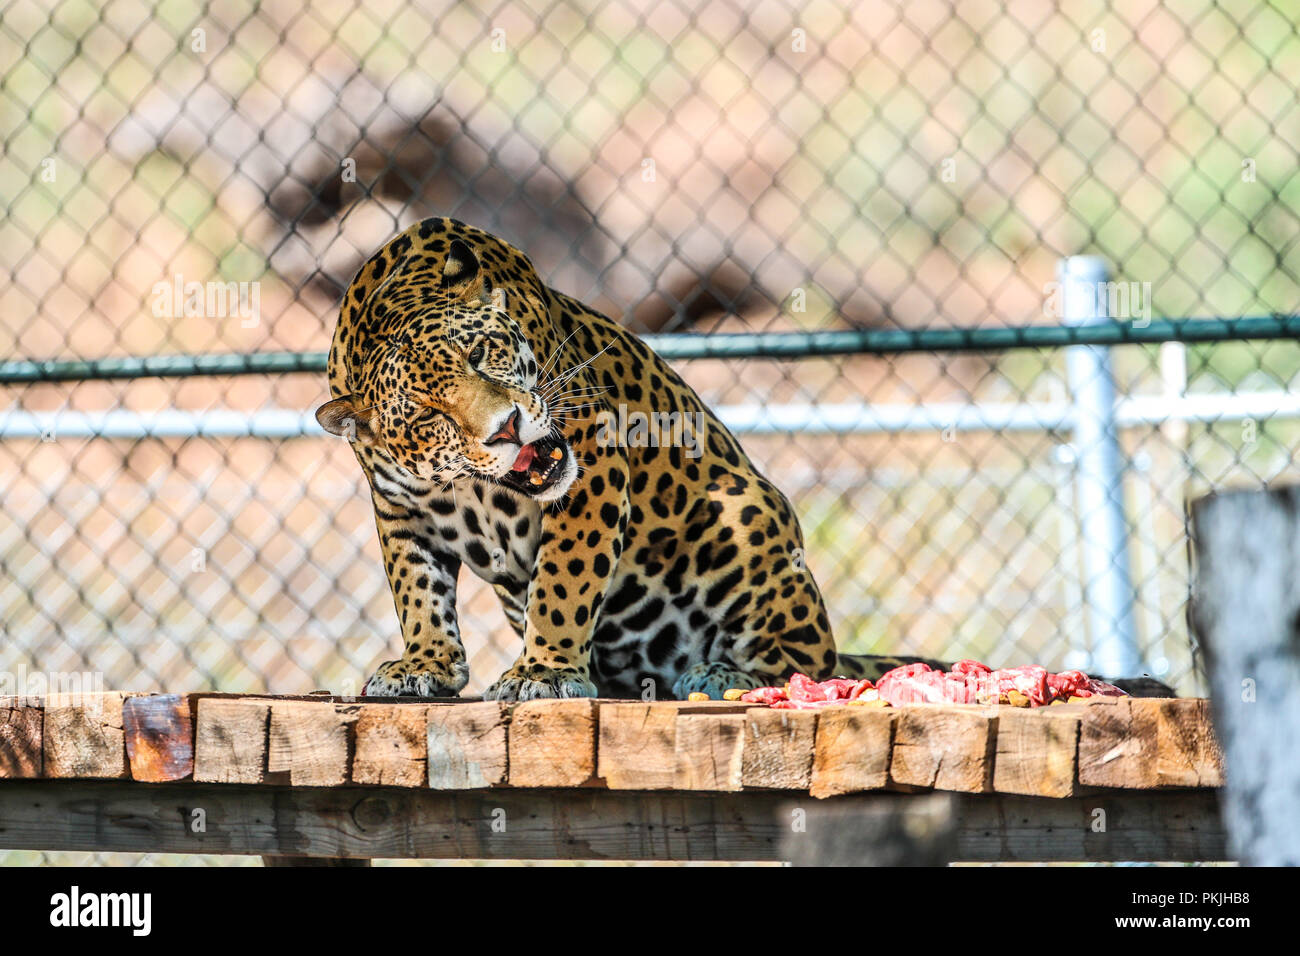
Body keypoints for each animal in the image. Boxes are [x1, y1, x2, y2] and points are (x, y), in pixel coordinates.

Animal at [315, 216, 945, 701]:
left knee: (806, 663)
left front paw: (543, 672)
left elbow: (562, 582)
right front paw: (426, 664)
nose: (507, 428)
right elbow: (416, 590)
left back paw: (719, 674)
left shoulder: (592, 461)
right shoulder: (398, 508)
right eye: (429, 417)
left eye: (479, 353)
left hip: (747, 512)